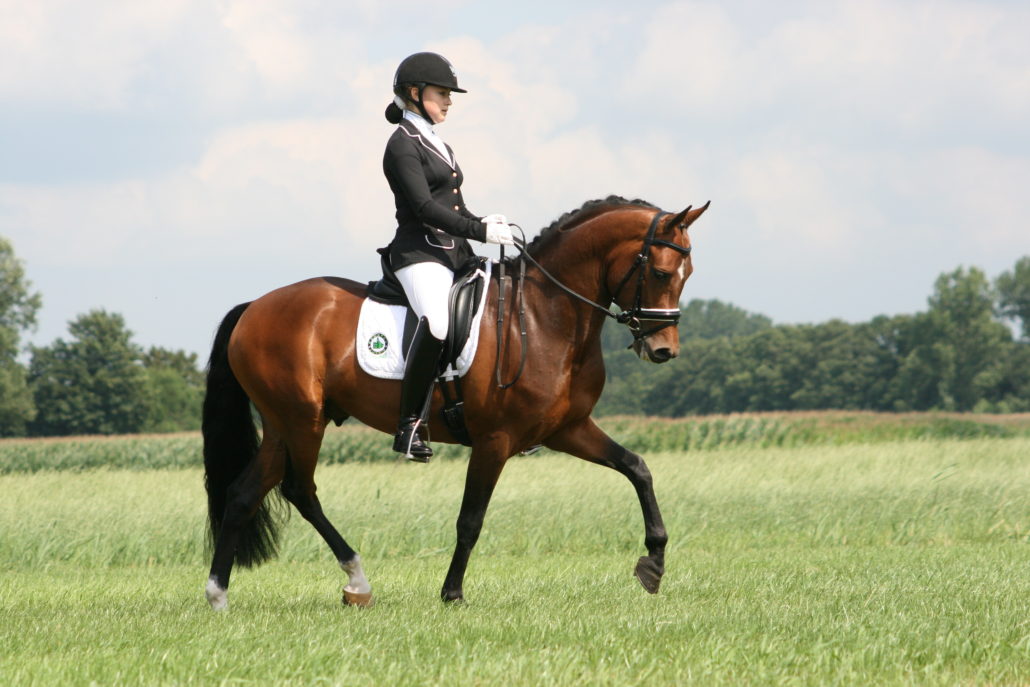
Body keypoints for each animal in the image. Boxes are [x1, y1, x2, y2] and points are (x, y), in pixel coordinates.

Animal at [202, 195, 710, 609]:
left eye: (687, 275)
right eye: (661, 272)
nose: (663, 350)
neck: (542, 316)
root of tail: (253, 308)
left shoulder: (569, 428)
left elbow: (637, 468)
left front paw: (654, 562)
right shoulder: (494, 439)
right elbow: (471, 519)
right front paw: (452, 593)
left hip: (283, 424)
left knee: (245, 493)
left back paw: (218, 594)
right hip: (303, 421)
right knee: (300, 490)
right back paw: (357, 581)